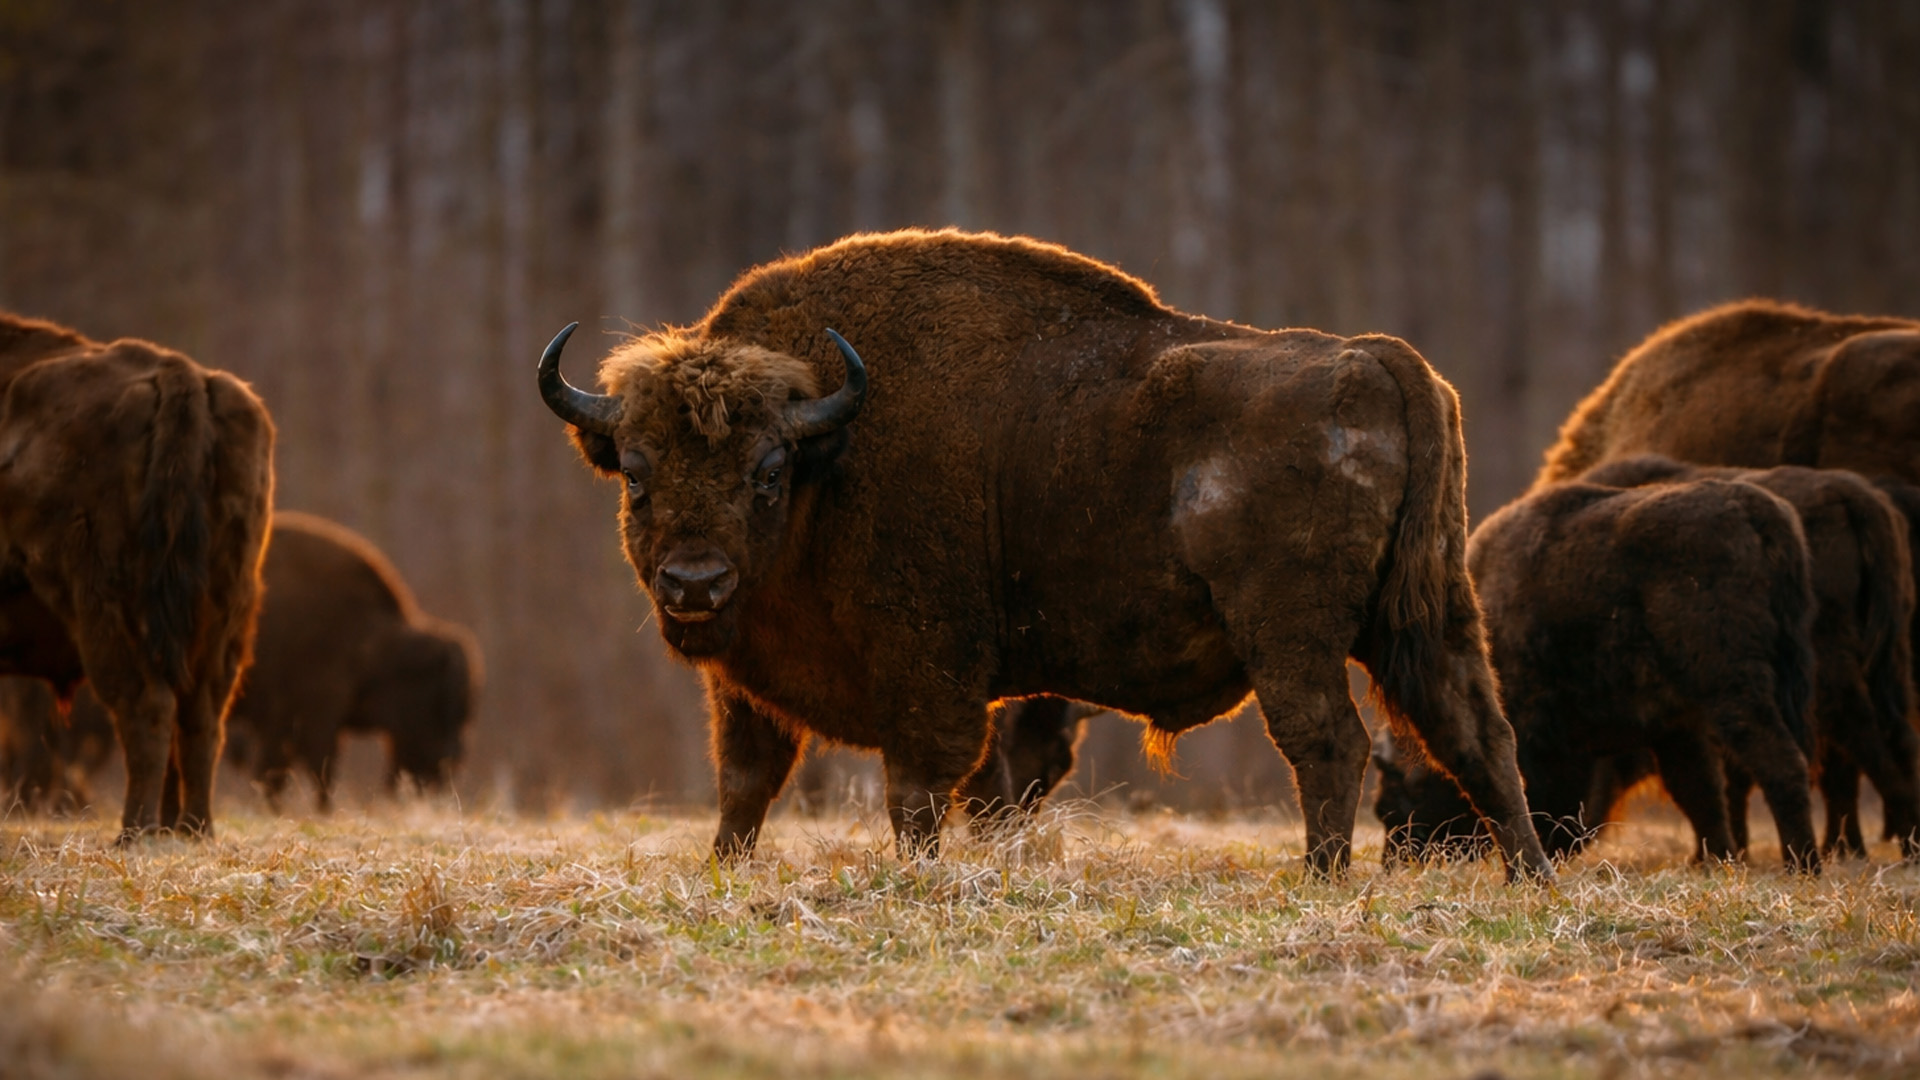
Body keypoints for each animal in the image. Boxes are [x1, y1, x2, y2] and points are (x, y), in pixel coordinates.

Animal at [0, 313, 274, 840]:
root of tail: (177, 372)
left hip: (105, 603)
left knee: (145, 703)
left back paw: (135, 831)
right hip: (221, 610)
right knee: (199, 714)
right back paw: (188, 828)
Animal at [539, 228, 1552, 878]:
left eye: (767, 469)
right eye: (635, 471)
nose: (694, 584)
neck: (836, 449)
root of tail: (1374, 357)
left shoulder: (929, 680)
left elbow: (919, 789)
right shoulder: (748, 690)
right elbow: (745, 789)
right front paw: (723, 873)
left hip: (1290, 635)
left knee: (1329, 739)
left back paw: (1324, 879)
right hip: (1425, 612)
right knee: (1477, 729)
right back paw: (1528, 877)